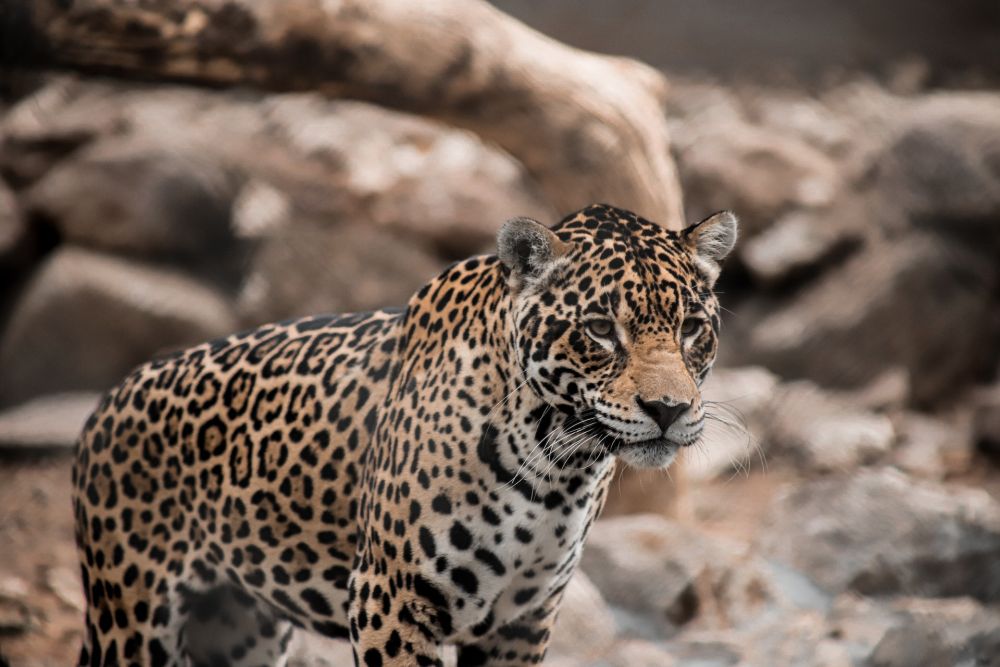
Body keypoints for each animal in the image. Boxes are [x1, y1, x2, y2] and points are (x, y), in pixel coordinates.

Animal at [72, 203, 737, 667]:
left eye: (691, 328)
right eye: (599, 329)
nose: (668, 409)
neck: (556, 465)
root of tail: (106, 404)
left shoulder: (523, 620)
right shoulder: (388, 600)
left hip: (238, 630)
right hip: (133, 620)